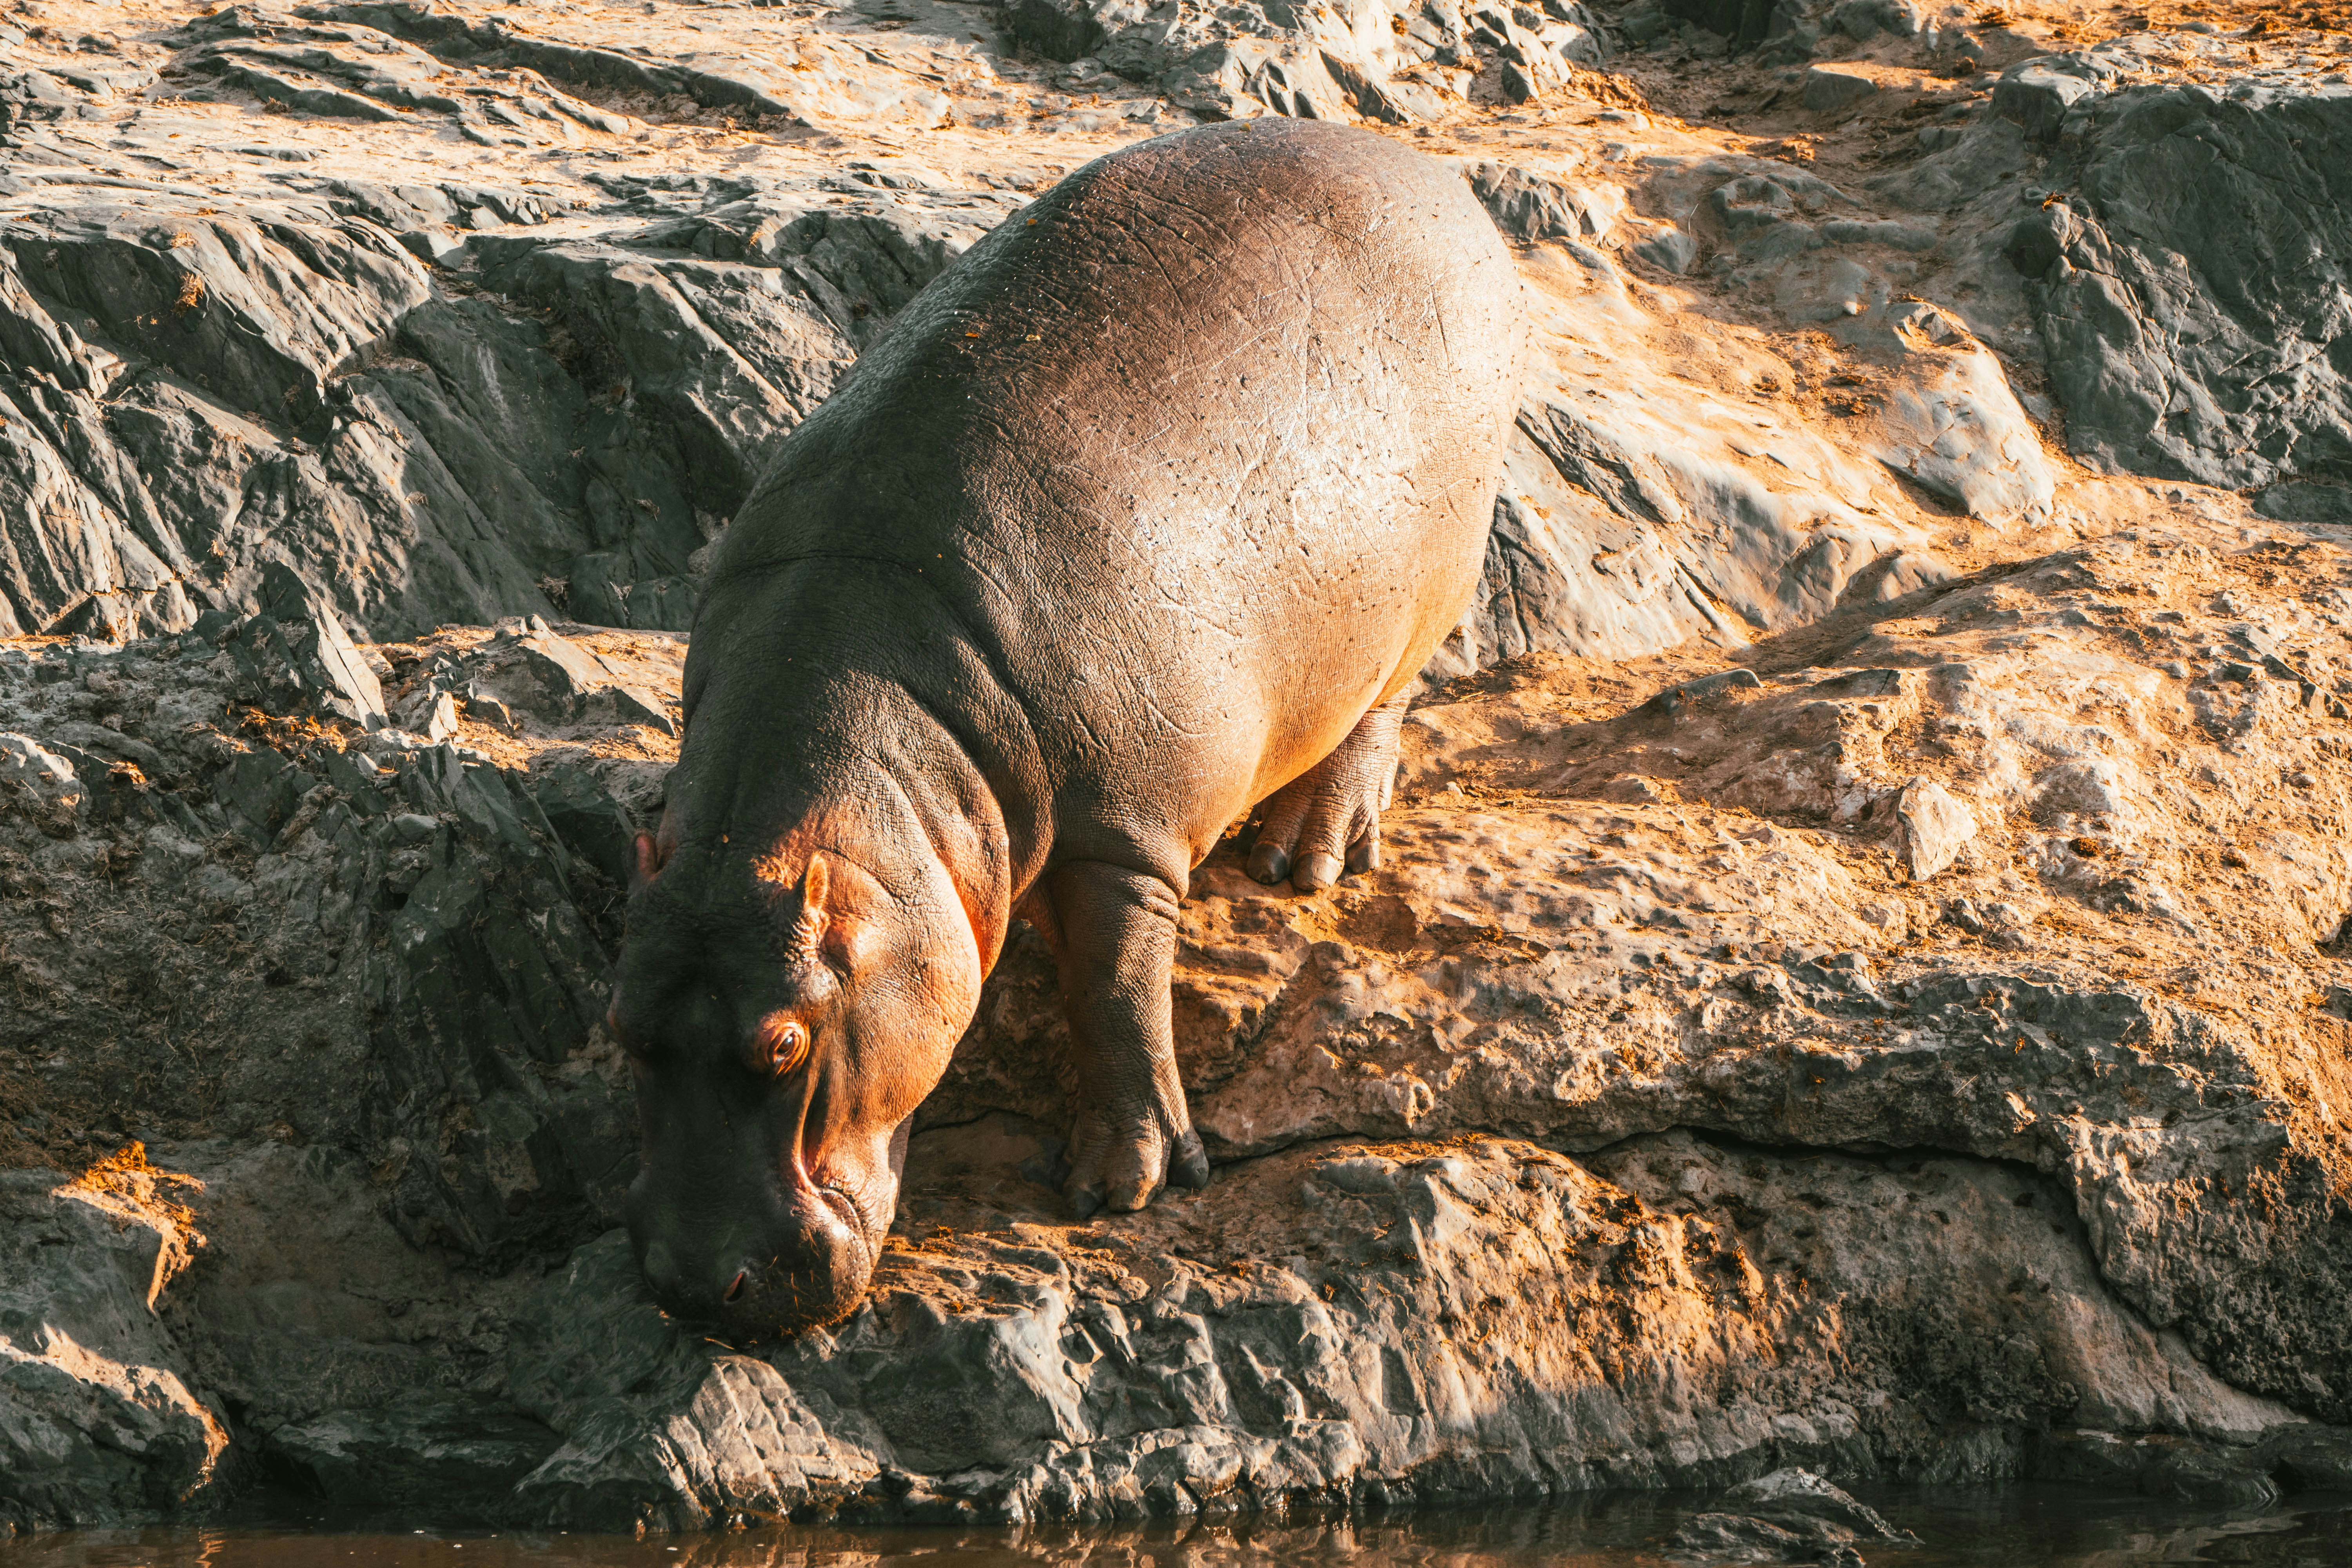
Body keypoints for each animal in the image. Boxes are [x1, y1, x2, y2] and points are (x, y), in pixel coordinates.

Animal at [608, 118, 1526, 1336]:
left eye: (787, 1042)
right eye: (623, 1025)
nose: (696, 1286)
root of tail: (1432, 172)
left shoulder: (1124, 841)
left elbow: (1116, 994)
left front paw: (1120, 1183)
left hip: (1427, 578)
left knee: (1381, 708)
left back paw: (1304, 851)